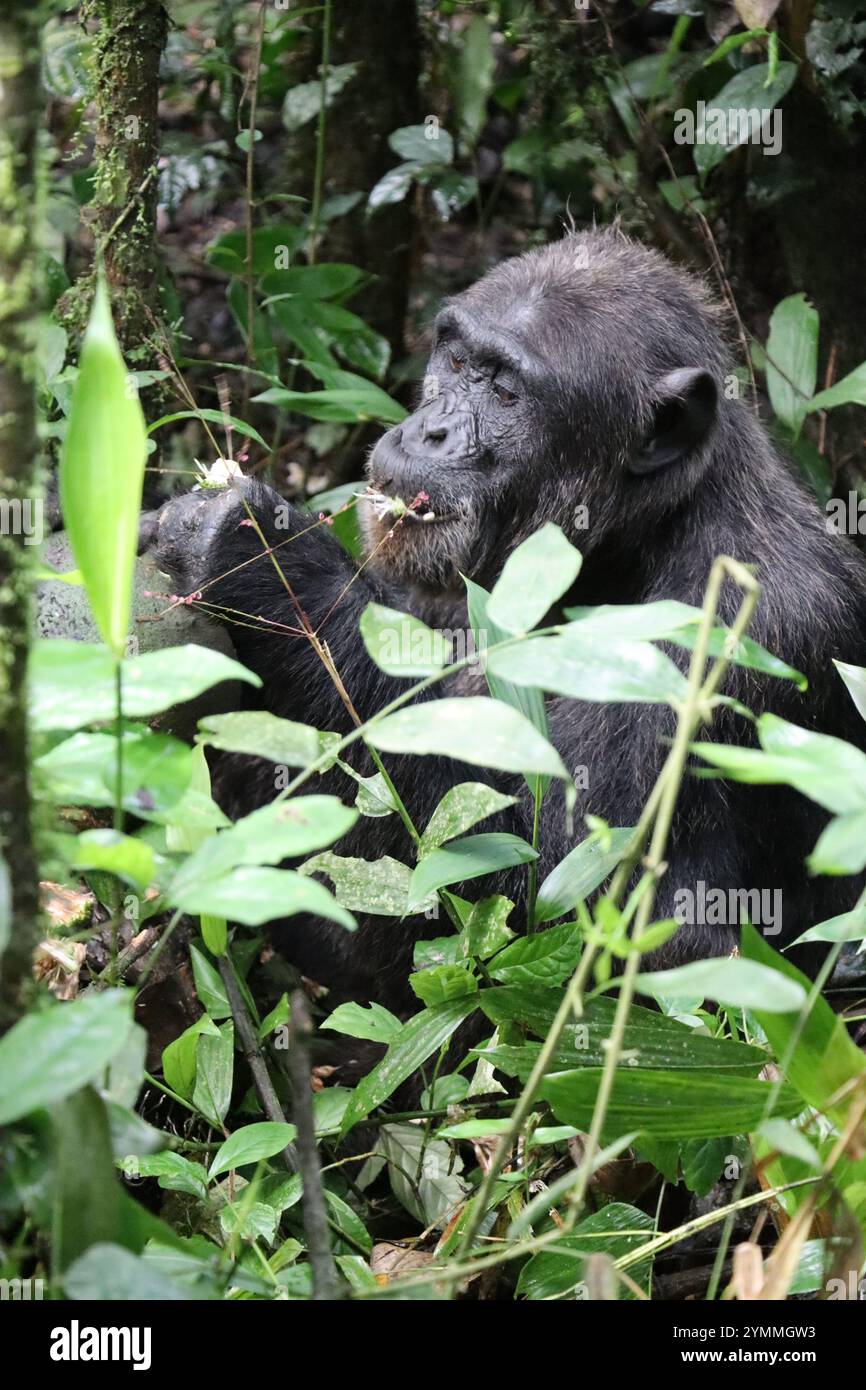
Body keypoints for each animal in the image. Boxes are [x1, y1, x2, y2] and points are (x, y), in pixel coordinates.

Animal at [150, 227, 866, 1013]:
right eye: (458, 363)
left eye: (505, 392)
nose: (430, 431)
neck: (632, 542)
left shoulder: (742, 635)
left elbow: (567, 884)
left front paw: (260, 555)